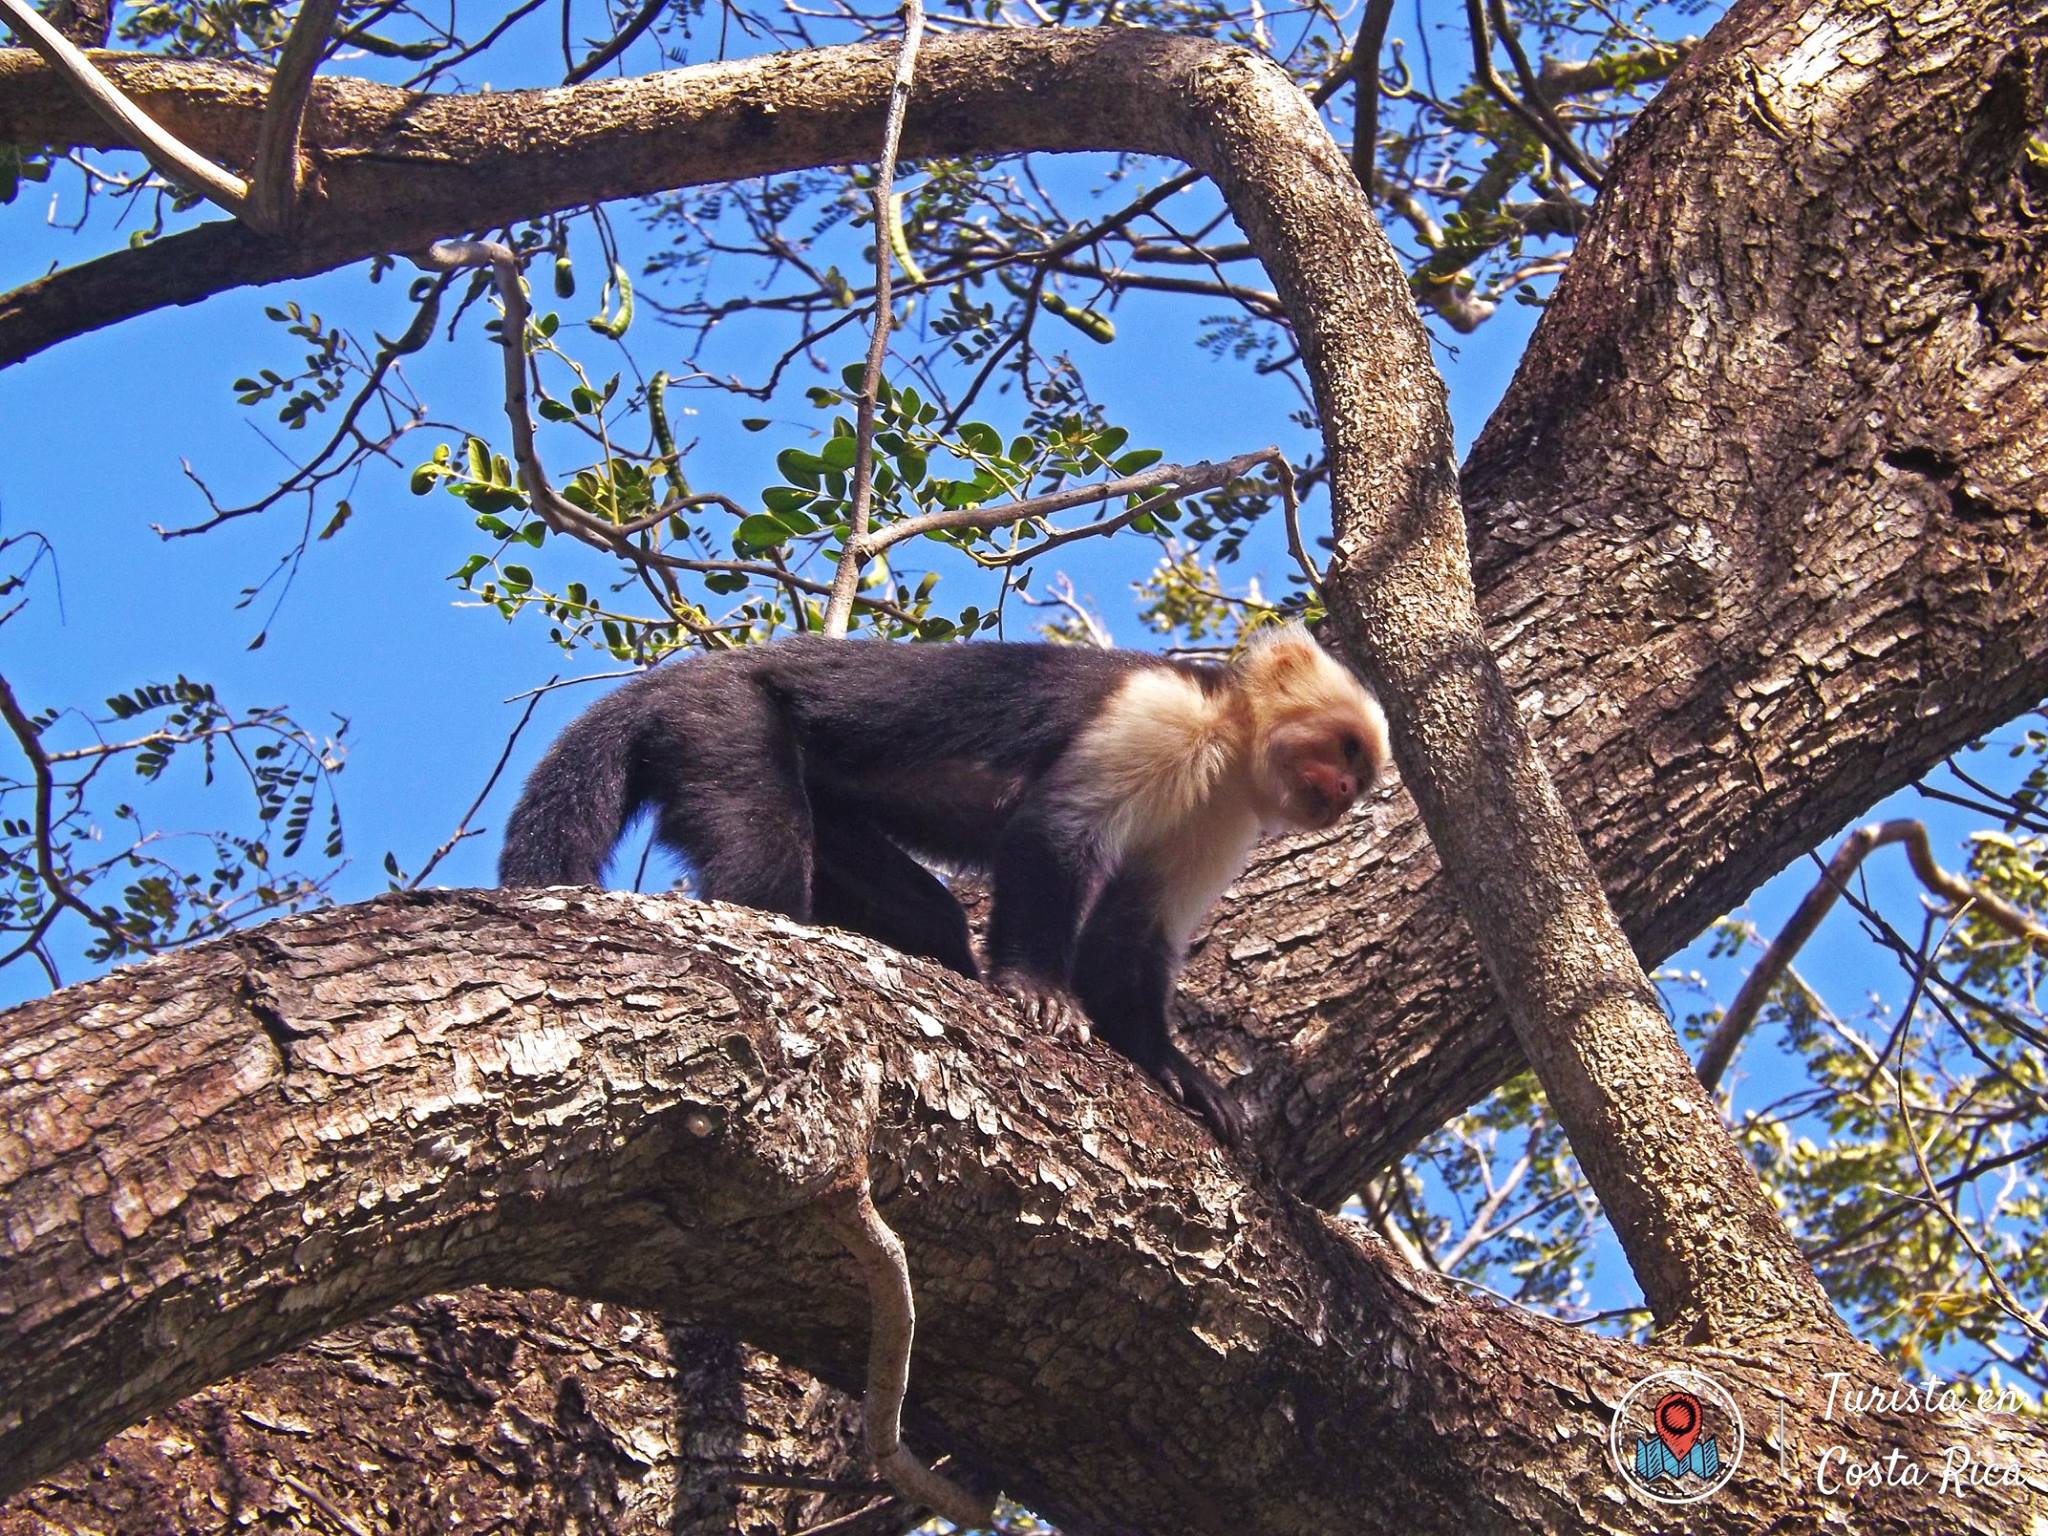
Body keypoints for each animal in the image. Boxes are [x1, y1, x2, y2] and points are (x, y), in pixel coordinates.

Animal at [498, 624, 1390, 1145]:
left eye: (1363, 772)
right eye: (1348, 750)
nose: (1348, 794)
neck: (1226, 741)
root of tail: (678, 678)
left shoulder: (1227, 812)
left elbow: (1135, 935)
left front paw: (1172, 1068)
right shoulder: (1155, 715)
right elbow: (1051, 837)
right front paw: (1036, 990)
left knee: (921, 911)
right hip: (718, 721)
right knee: (763, 850)